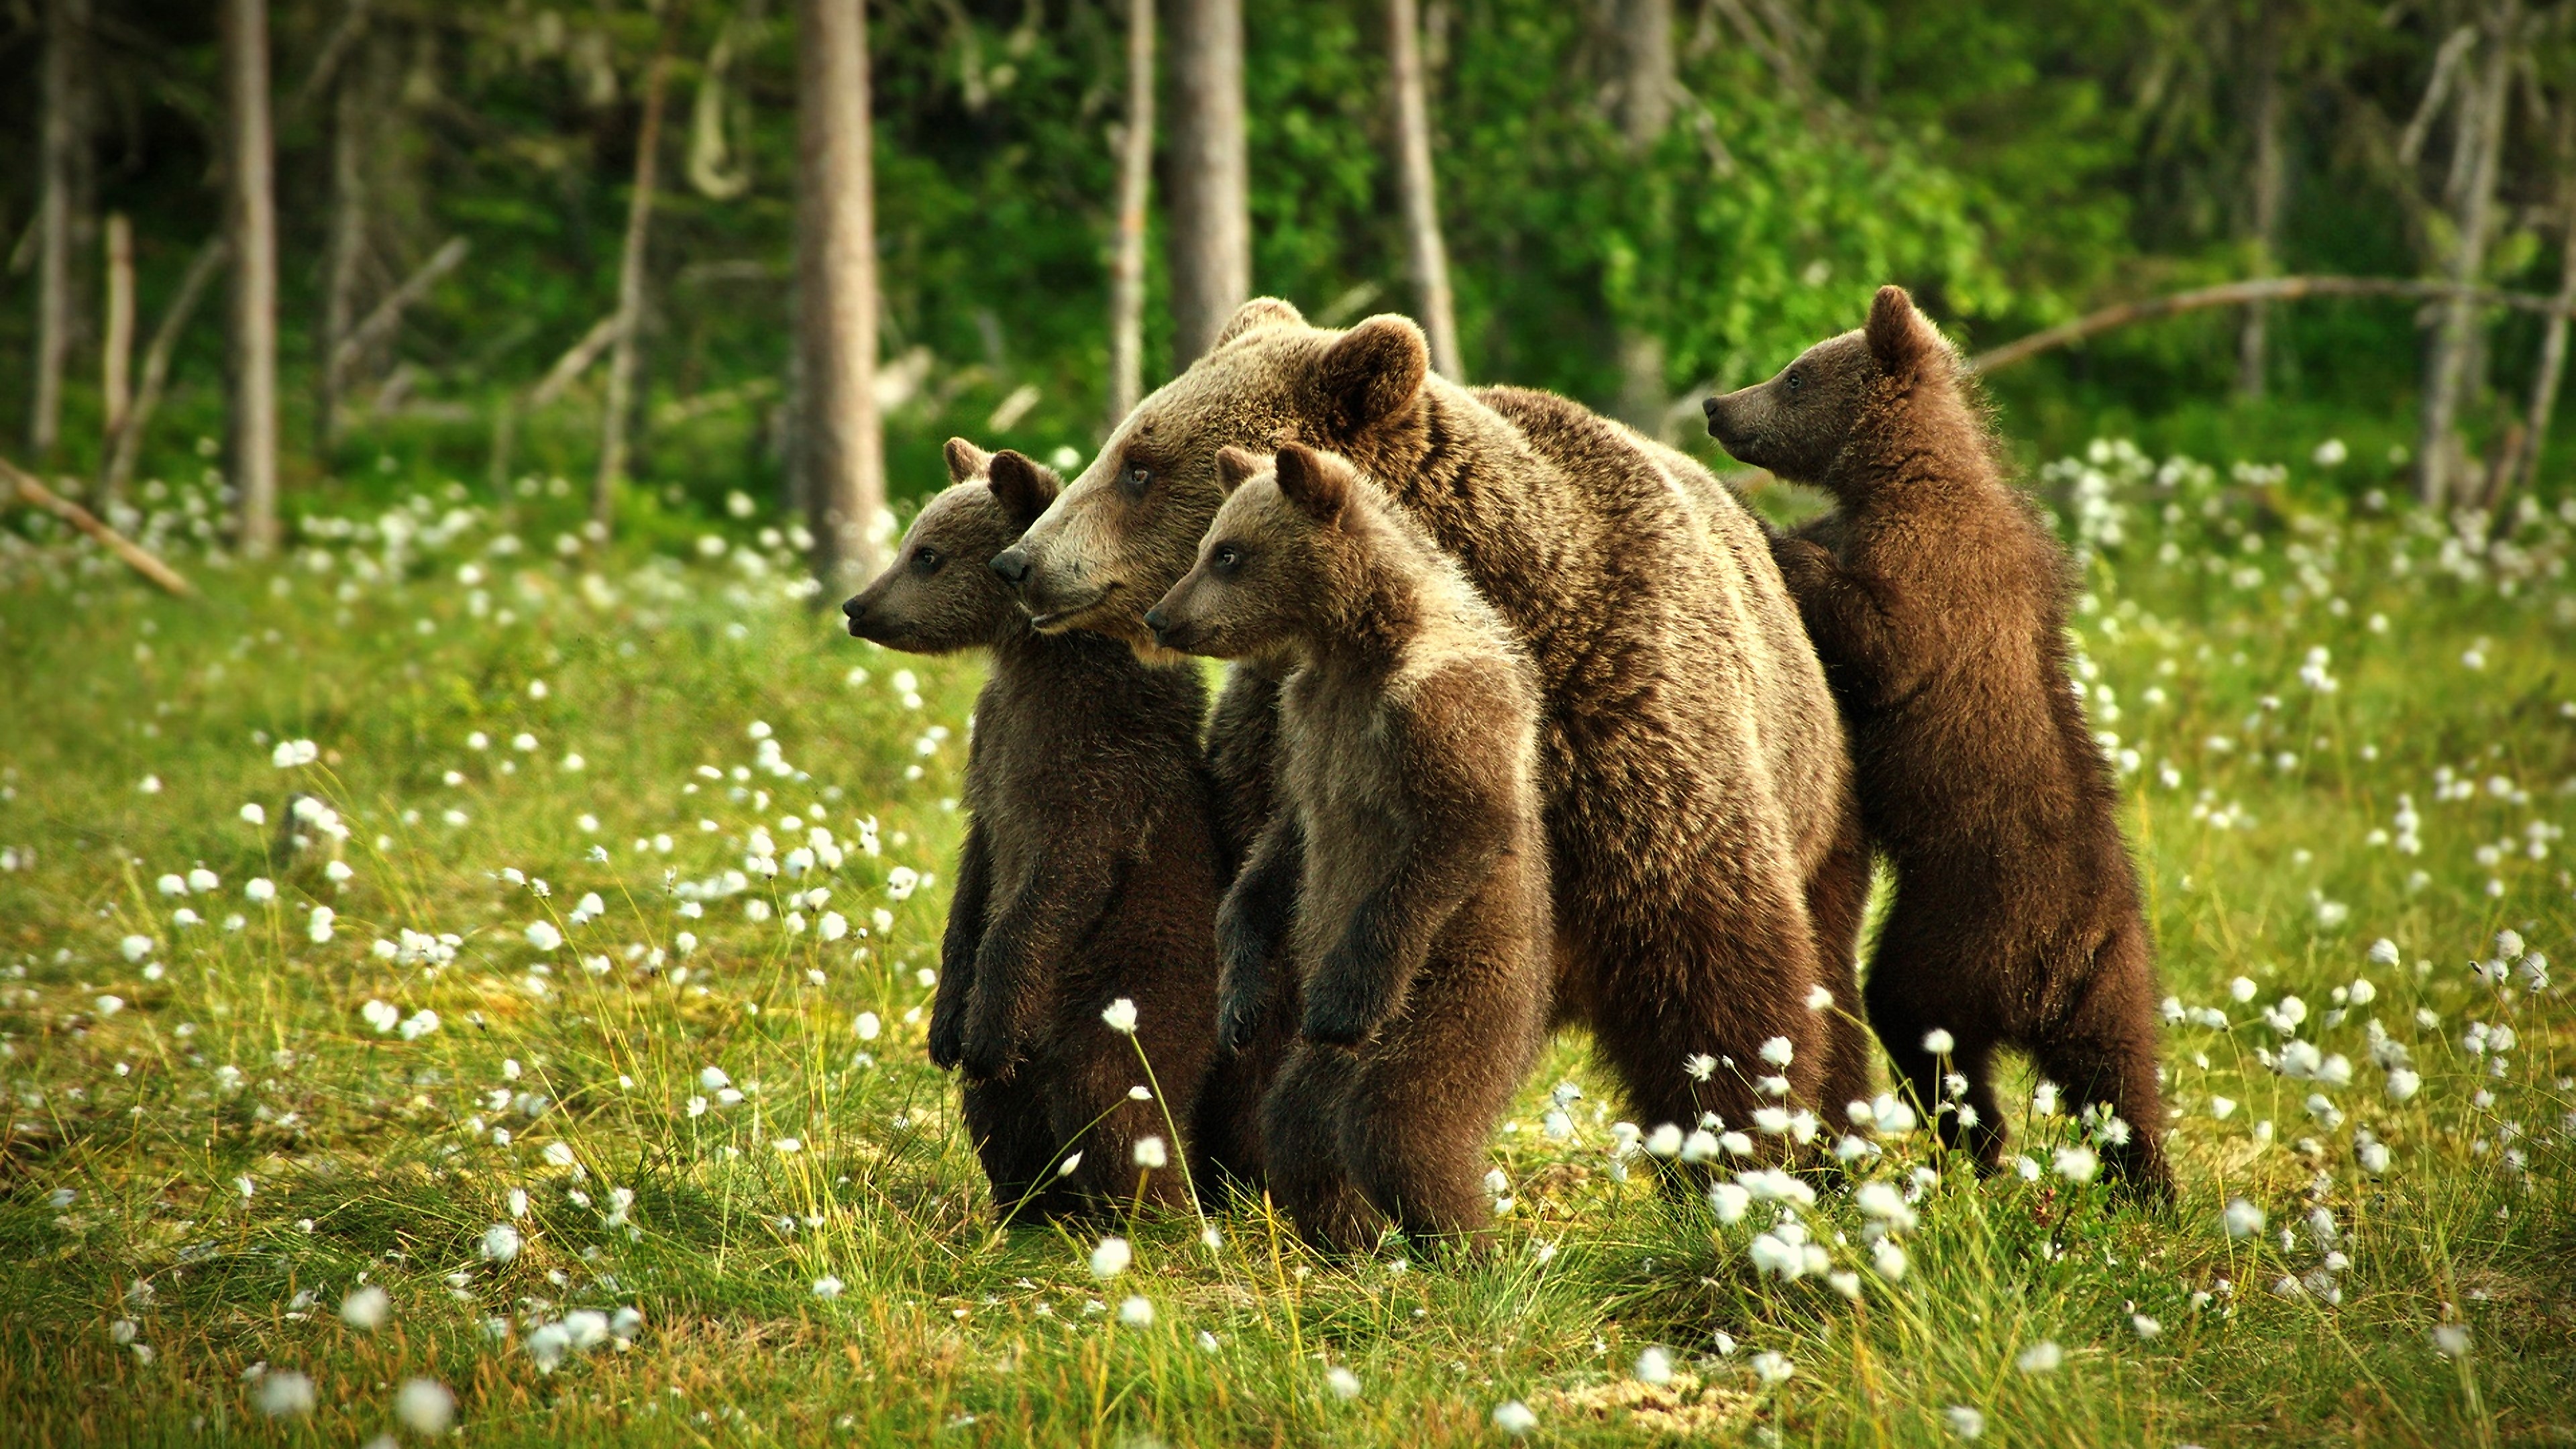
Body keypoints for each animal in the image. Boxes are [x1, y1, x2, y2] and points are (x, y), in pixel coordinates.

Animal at [840, 439, 1240, 1220]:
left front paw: (986, 1031)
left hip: (1132, 985)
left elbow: (1053, 882)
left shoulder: (1093, 759)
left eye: (926, 555)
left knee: (1115, 1097)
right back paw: (1028, 1205)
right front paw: (945, 1030)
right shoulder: (994, 750)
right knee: (1002, 1111)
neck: (1036, 659)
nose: (857, 606)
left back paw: (1152, 1208)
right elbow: (977, 872)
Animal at [986, 300, 1876, 1168]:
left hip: (1822, 796)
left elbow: (1710, 960)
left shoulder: (1626, 727)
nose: (1022, 562)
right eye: (1123, 447)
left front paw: (1736, 1143)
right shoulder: (1294, 746)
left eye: (1140, 465)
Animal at [1141, 442, 1553, 1252]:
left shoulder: (1436, 707)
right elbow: (1283, 848)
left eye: (1228, 554)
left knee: (1402, 1119)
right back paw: (1350, 1234)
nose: (1161, 616)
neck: (1358, 643)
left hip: (1459, 987)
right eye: (1208, 545)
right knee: (1296, 1120)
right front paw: (1237, 996)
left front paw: (1342, 993)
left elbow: (1457, 827)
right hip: (1326, 1064)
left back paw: (1466, 1244)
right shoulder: (1309, 724)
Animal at [1701, 284, 2174, 1197]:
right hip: (2119, 977)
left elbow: (1881, 639)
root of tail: (2058, 958)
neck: (1894, 477)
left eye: (1795, 373)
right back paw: (2150, 1190)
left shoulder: (1934, 570)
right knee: (2123, 1080)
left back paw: (1979, 1142)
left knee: (1918, 1020)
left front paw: (1764, 528)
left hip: (1963, 925)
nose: (1715, 406)